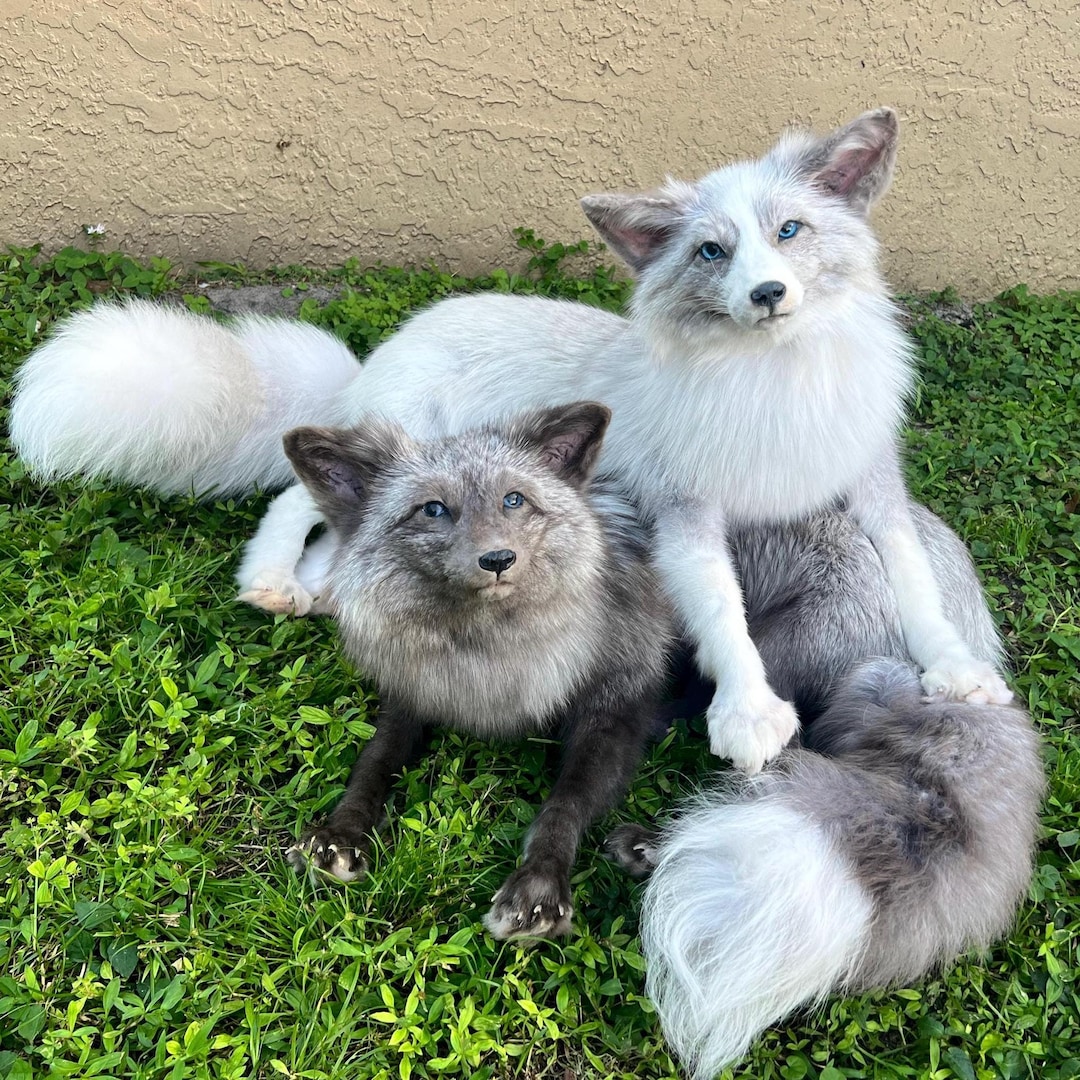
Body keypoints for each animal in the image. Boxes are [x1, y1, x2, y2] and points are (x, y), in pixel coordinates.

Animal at [10, 106, 1013, 773]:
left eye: (790, 231)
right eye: (711, 253)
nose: (767, 295)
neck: (777, 379)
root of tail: (384, 352)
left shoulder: (871, 484)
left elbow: (913, 582)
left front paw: (956, 670)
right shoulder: (688, 512)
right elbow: (723, 610)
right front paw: (748, 712)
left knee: (338, 551)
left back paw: (317, 592)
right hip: (412, 447)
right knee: (301, 492)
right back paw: (270, 580)